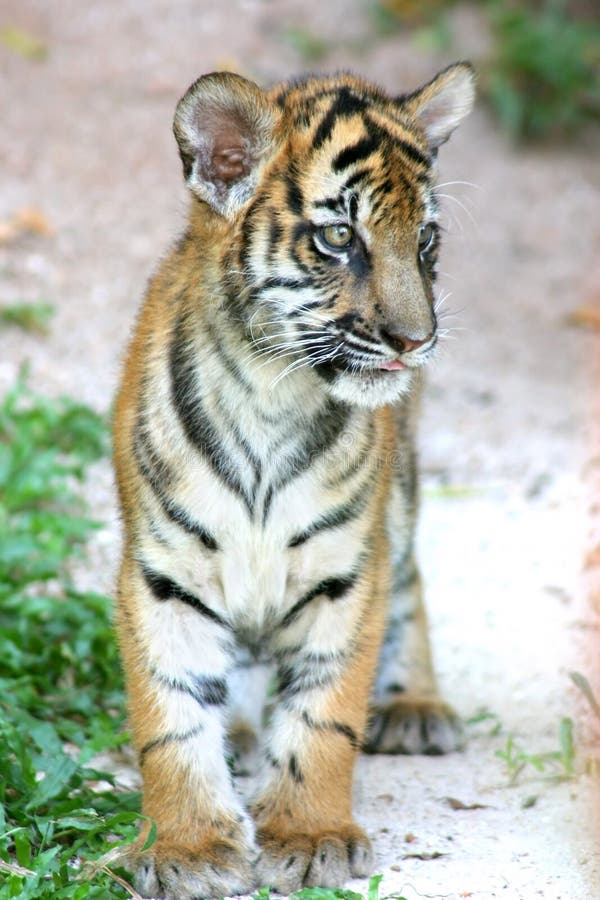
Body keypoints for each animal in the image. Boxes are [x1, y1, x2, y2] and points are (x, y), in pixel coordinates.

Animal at [113, 63, 475, 899]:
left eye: (426, 239)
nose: (418, 341)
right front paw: (185, 847)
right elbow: (170, 717)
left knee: (412, 578)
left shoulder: (349, 569)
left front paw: (312, 836)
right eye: (339, 236)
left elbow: (324, 715)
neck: (270, 390)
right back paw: (242, 730)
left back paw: (416, 703)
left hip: (400, 503)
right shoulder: (160, 572)